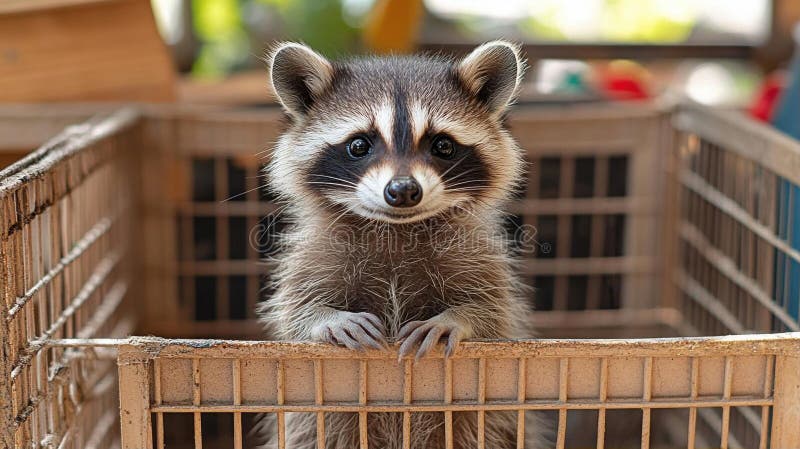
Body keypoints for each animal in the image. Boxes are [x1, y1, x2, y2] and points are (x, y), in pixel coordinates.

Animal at [256, 41, 545, 448]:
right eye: (359, 145)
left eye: (443, 145)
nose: (403, 190)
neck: (395, 229)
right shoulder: (312, 254)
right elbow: (292, 314)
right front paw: (326, 318)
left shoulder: (479, 255)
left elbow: (495, 315)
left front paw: (456, 319)